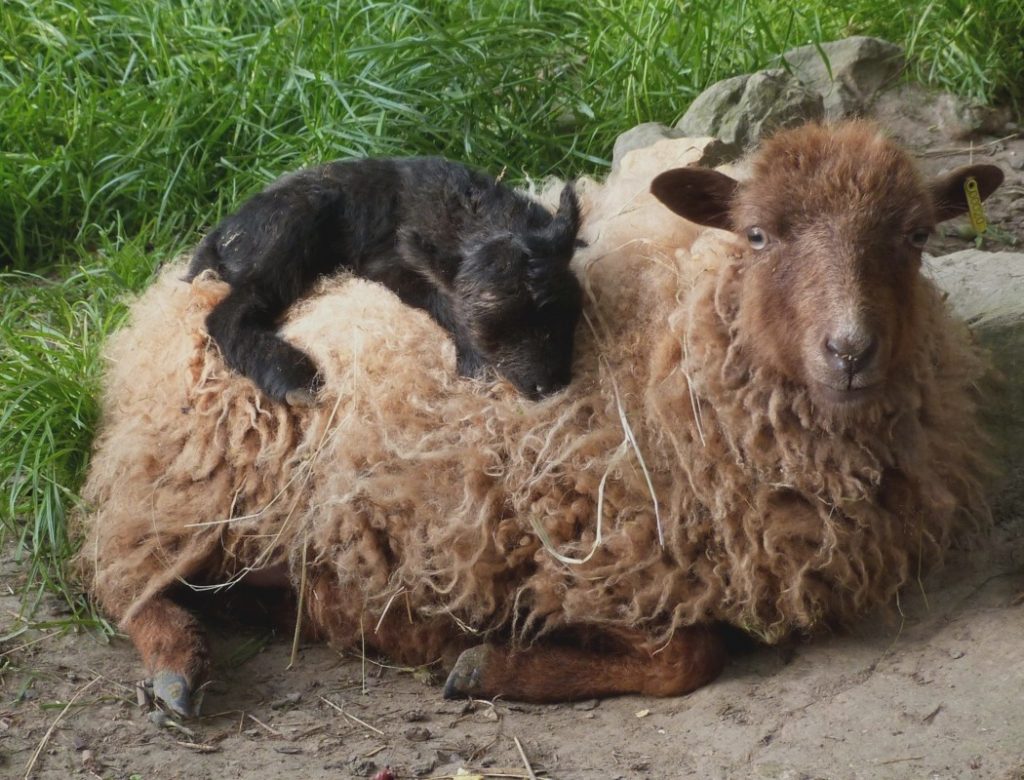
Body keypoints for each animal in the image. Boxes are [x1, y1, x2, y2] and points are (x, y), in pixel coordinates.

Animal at [187, 157, 583, 404]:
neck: (477, 217)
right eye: (488, 331)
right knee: (231, 311)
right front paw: (473, 360)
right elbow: (438, 296)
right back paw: (288, 374)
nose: (546, 386)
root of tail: (218, 236)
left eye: (567, 313)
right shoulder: (388, 263)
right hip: (286, 226)